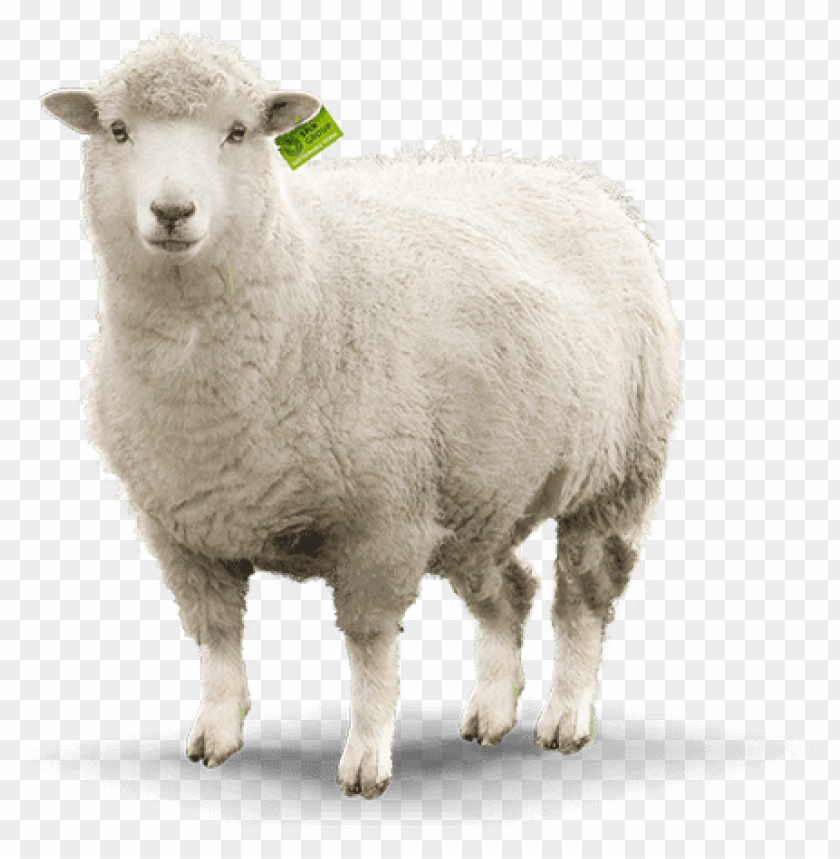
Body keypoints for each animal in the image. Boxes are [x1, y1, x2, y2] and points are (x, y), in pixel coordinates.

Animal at [40, 32, 683, 800]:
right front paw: (217, 732)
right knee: (510, 592)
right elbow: (217, 639)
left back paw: (566, 717)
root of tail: (579, 182)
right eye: (117, 130)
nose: (172, 211)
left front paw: (367, 759)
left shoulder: (383, 524)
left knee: (583, 598)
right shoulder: (181, 532)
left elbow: (371, 651)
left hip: (616, 472)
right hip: (473, 495)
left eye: (238, 132)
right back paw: (492, 712)